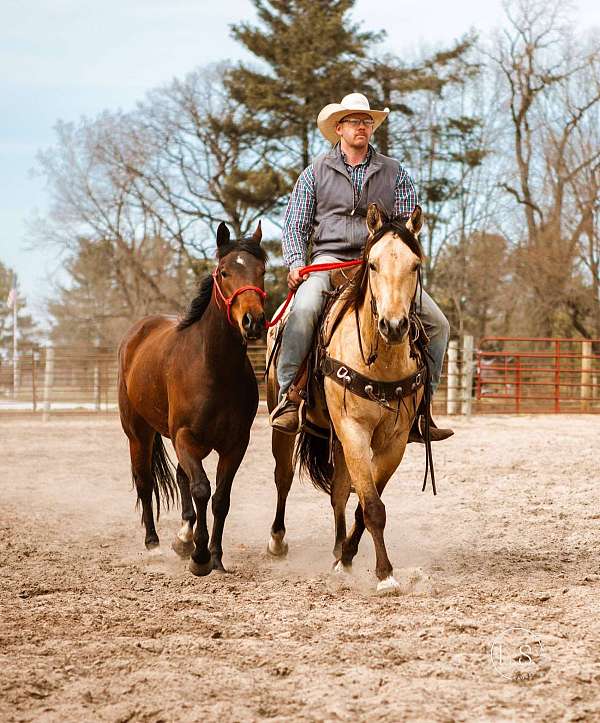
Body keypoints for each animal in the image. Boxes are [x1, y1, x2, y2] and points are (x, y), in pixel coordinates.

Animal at [118, 221, 267, 576]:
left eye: (262, 271)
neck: (213, 369)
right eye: (224, 272)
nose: (253, 322)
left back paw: (183, 538)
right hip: (139, 434)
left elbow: (221, 498)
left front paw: (215, 556)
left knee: (180, 477)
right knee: (146, 482)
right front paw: (200, 558)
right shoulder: (185, 437)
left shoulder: (235, 444)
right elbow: (202, 489)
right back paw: (154, 542)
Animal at [266, 203, 428, 594]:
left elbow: (363, 503)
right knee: (283, 477)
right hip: (288, 424)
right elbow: (371, 506)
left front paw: (350, 558)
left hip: (338, 440)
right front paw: (385, 574)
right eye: (373, 264)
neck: (381, 360)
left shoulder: (393, 441)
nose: (394, 325)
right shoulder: (353, 430)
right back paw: (277, 541)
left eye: (415, 265)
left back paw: (339, 551)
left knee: (339, 492)